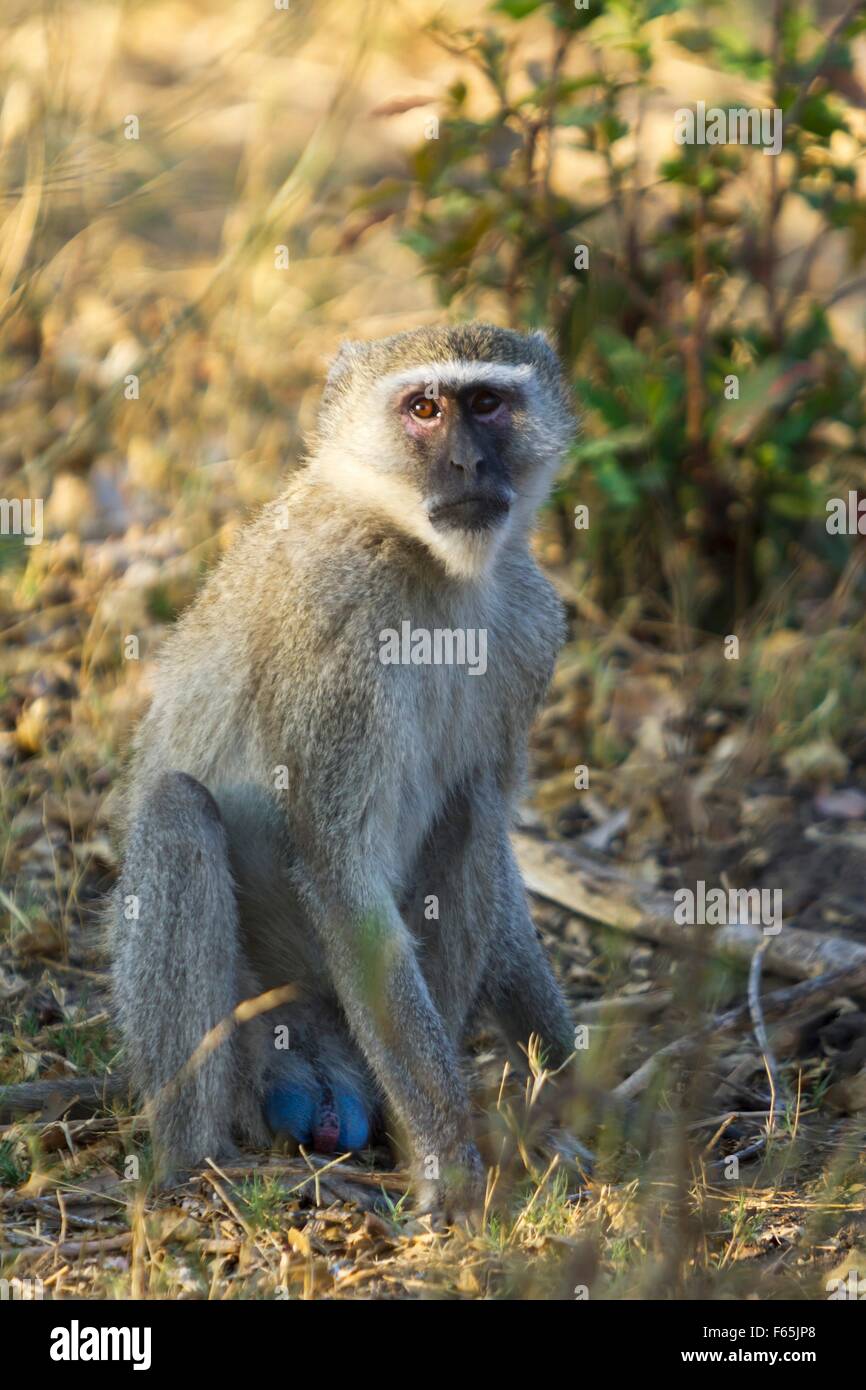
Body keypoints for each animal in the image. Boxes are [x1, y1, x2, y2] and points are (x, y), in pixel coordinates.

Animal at [106, 322, 578, 1223]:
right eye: (423, 409)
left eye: (487, 403)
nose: (468, 464)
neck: (425, 562)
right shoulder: (338, 621)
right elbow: (337, 866)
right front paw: (448, 1165)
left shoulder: (533, 628)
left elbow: (491, 833)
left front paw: (566, 1073)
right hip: (255, 1038)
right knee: (178, 811)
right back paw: (198, 1164)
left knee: (468, 813)